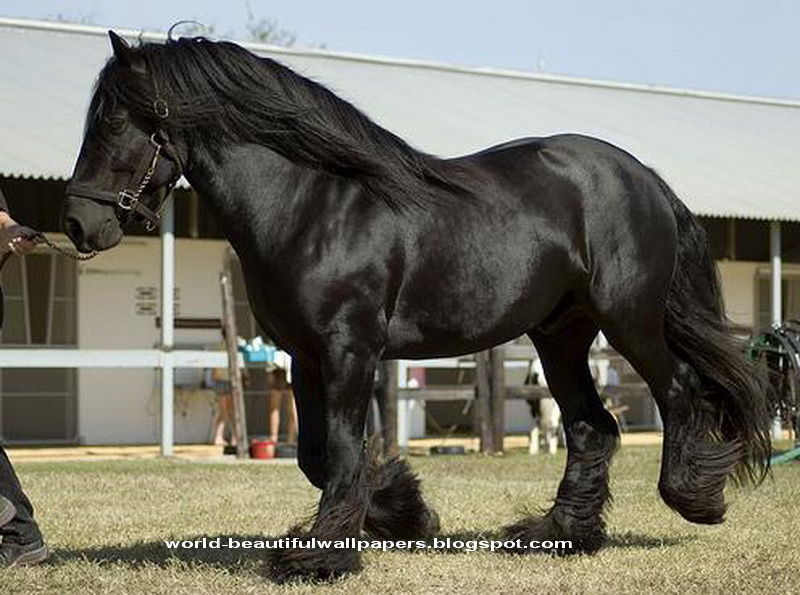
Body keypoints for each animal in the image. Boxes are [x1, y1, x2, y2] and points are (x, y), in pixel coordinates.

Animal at [61, 31, 772, 581]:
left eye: (114, 123)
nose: (76, 225)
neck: (311, 204)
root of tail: (642, 177)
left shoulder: (351, 349)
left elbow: (341, 451)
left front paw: (320, 557)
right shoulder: (306, 358)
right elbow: (317, 454)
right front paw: (408, 513)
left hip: (627, 318)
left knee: (679, 391)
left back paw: (695, 499)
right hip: (561, 332)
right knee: (592, 426)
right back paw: (560, 535)